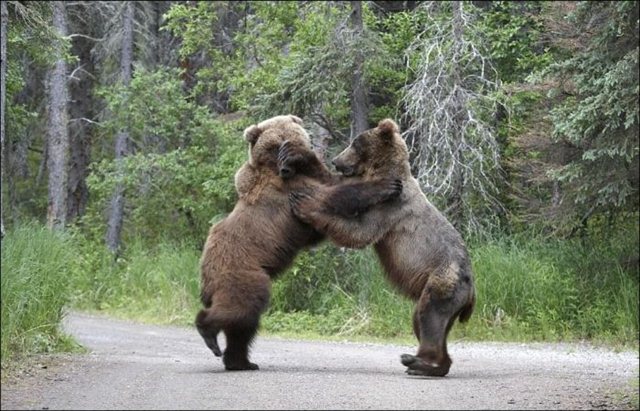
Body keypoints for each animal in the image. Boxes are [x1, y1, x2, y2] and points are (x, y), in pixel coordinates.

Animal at [196, 114, 403, 371]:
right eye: (276, 144)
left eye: (288, 140)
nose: (285, 166)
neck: (278, 171)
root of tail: (206, 273)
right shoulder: (291, 191)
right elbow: (334, 195)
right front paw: (388, 185)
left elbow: (328, 180)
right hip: (242, 272)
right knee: (243, 307)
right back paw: (208, 331)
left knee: (244, 325)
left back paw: (241, 361)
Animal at [286, 118, 476, 377]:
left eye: (355, 143)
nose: (336, 160)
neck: (381, 171)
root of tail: (472, 290)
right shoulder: (369, 188)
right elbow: (339, 186)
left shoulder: (390, 208)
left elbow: (359, 231)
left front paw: (304, 204)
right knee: (423, 321)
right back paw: (427, 364)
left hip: (443, 283)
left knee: (430, 318)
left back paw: (418, 362)